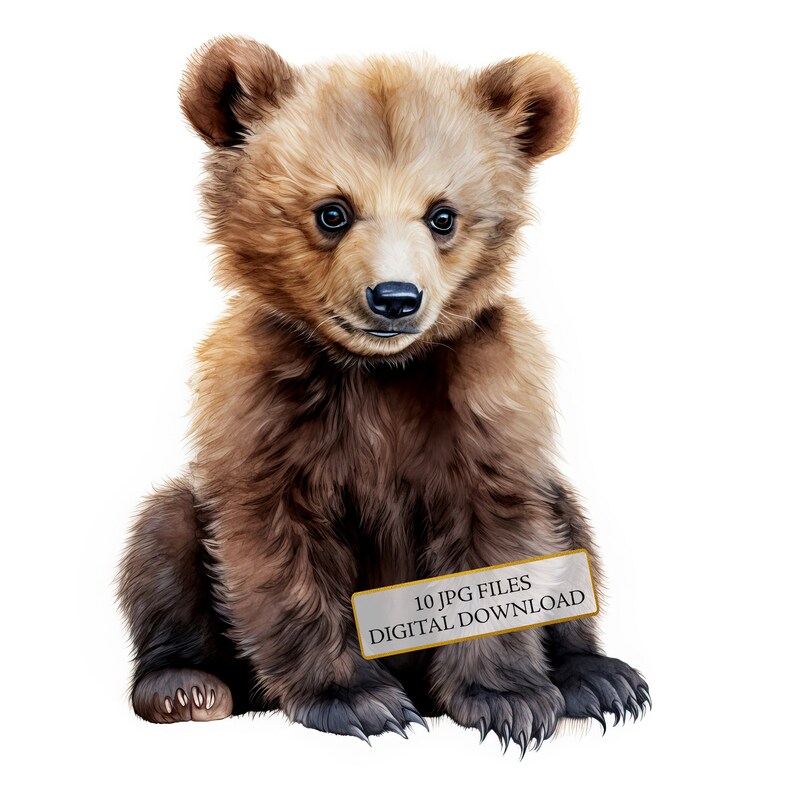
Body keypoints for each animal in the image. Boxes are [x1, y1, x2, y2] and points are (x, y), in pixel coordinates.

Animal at [117, 35, 650, 756]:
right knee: (162, 536)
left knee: (572, 533)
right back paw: (185, 686)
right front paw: (356, 699)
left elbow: (501, 546)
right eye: (333, 211)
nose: (395, 297)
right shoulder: (264, 410)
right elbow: (277, 549)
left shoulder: (485, 409)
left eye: (442, 216)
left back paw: (596, 678)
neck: (378, 373)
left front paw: (508, 698)